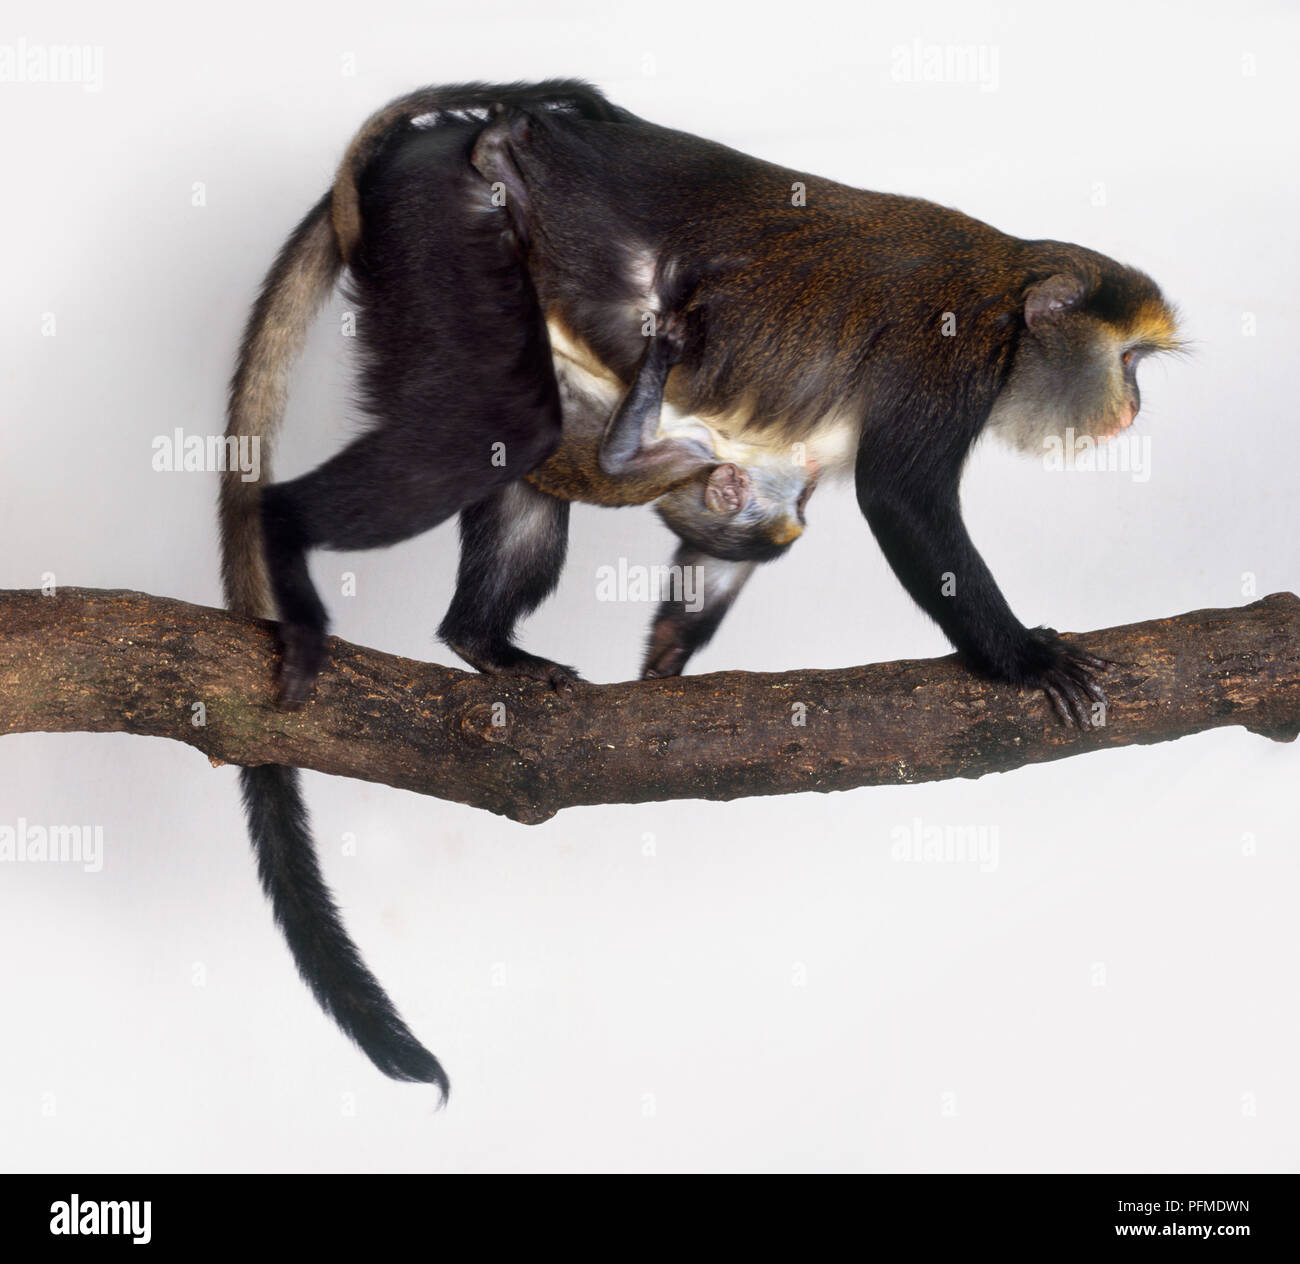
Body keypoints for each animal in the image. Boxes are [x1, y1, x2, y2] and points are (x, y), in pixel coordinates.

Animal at [219, 81, 1181, 1091]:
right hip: (444, 225)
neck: (1008, 293)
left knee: (523, 447)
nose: (1134, 406)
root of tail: (432, 146)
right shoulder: (947, 353)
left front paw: (668, 659)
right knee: (496, 417)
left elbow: (744, 535)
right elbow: (899, 497)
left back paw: (483, 641)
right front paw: (1026, 660)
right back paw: (284, 532)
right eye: (1130, 362)